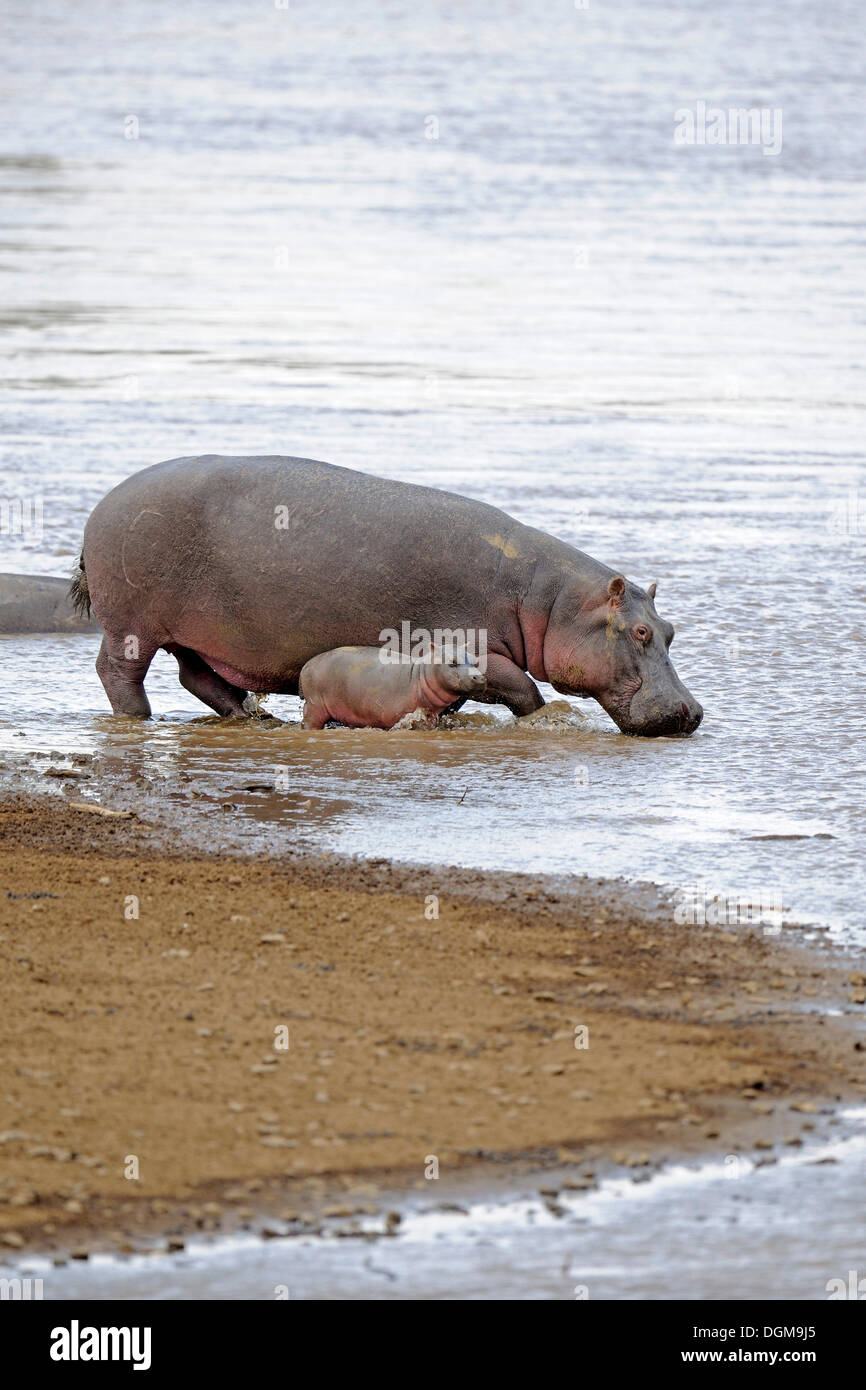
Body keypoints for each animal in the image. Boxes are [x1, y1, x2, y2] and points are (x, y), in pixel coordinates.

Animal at [299, 643, 487, 730]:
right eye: (452, 662)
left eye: (475, 661)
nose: (479, 677)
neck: (421, 673)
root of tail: (307, 665)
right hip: (314, 704)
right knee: (309, 722)